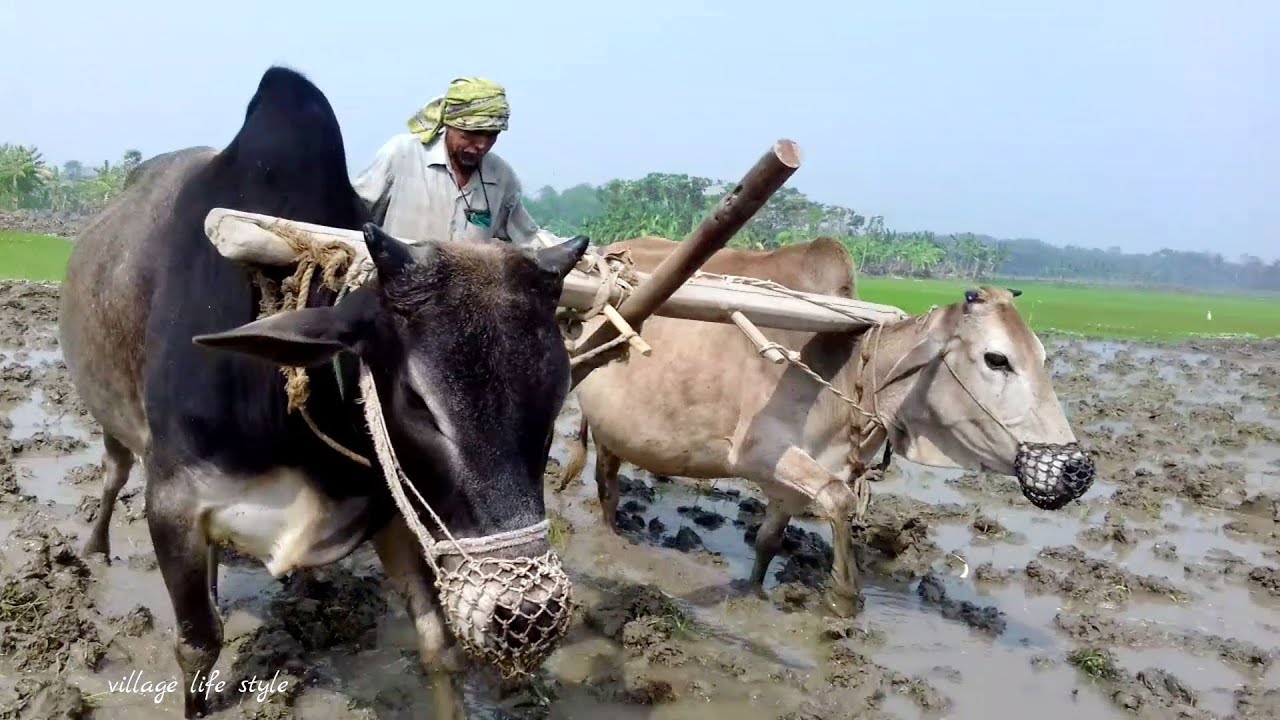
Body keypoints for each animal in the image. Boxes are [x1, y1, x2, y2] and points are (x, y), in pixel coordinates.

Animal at [57, 66, 589, 719]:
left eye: (558, 396)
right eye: (418, 401)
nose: (529, 614)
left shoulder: (391, 510)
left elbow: (437, 645)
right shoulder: (172, 503)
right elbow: (197, 644)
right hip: (111, 422)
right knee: (111, 475)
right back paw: (94, 548)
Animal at [556, 238, 1095, 617]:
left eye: (1042, 356)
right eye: (996, 359)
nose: (1076, 470)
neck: (849, 372)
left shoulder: (793, 479)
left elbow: (769, 540)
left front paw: (753, 590)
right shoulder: (762, 451)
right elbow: (839, 502)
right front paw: (844, 595)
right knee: (604, 484)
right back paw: (612, 537)